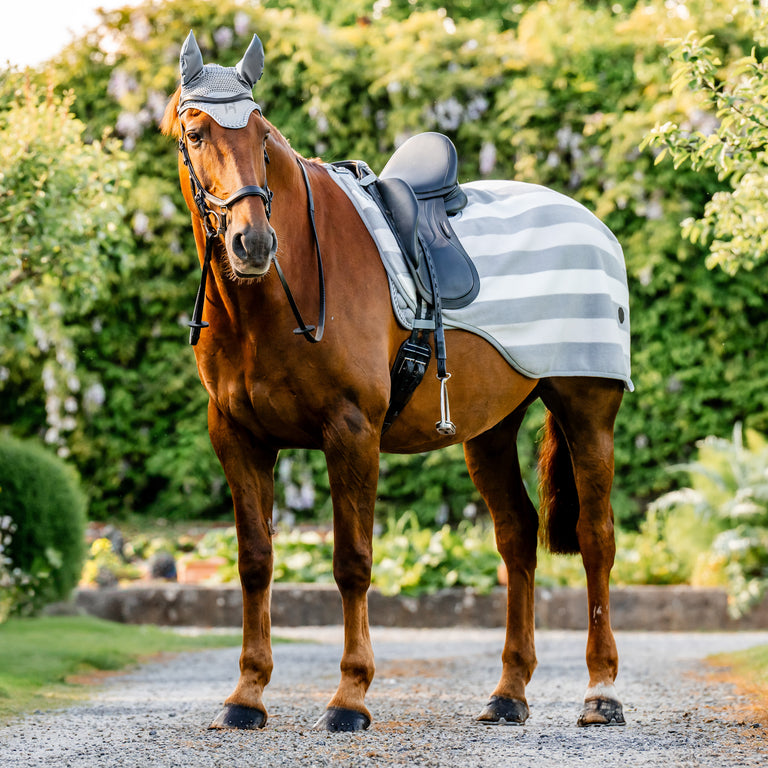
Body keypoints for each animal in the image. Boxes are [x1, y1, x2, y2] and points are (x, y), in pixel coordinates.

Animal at [161, 31, 629, 732]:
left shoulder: (351, 432)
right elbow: (254, 563)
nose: (252, 242)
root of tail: (592, 223)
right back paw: (508, 693)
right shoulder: (239, 439)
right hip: (490, 431)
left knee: (597, 540)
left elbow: (352, 563)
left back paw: (601, 692)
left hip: (585, 406)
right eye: (194, 133)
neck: (284, 291)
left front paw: (350, 697)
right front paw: (246, 695)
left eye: (263, 137)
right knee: (517, 539)